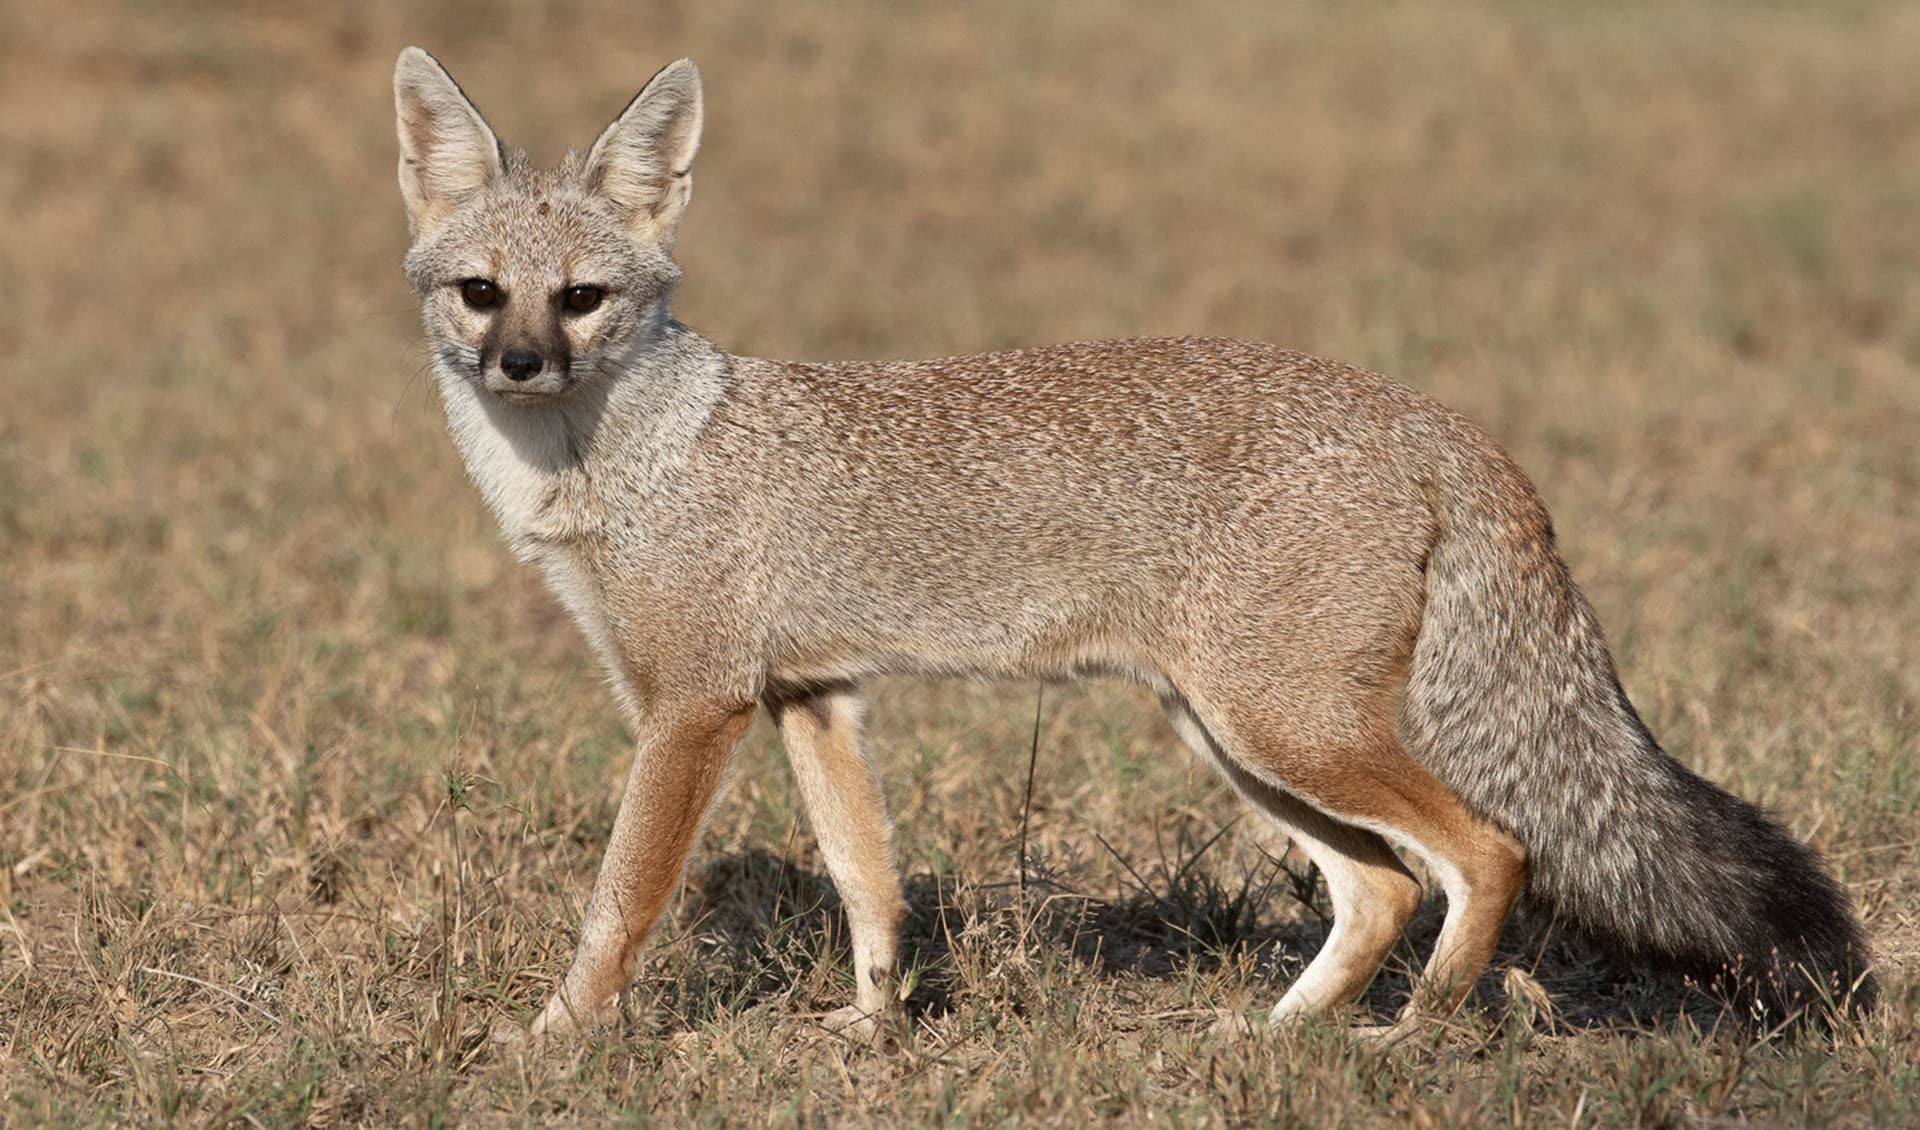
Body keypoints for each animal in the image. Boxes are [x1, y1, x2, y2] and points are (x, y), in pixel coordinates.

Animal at [392, 46, 1873, 1044]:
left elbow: (621, 901)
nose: (518, 364)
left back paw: (1410, 1035)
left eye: (584, 300)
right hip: (1234, 735)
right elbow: (870, 884)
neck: (625, 458)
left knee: (1488, 850)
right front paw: (872, 1034)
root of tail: (1435, 416)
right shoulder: (811, 695)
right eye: (482, 292)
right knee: (1382, 888)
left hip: (1283, 726)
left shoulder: (693, 706)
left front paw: (553, 1040)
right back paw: (1282, 1039)